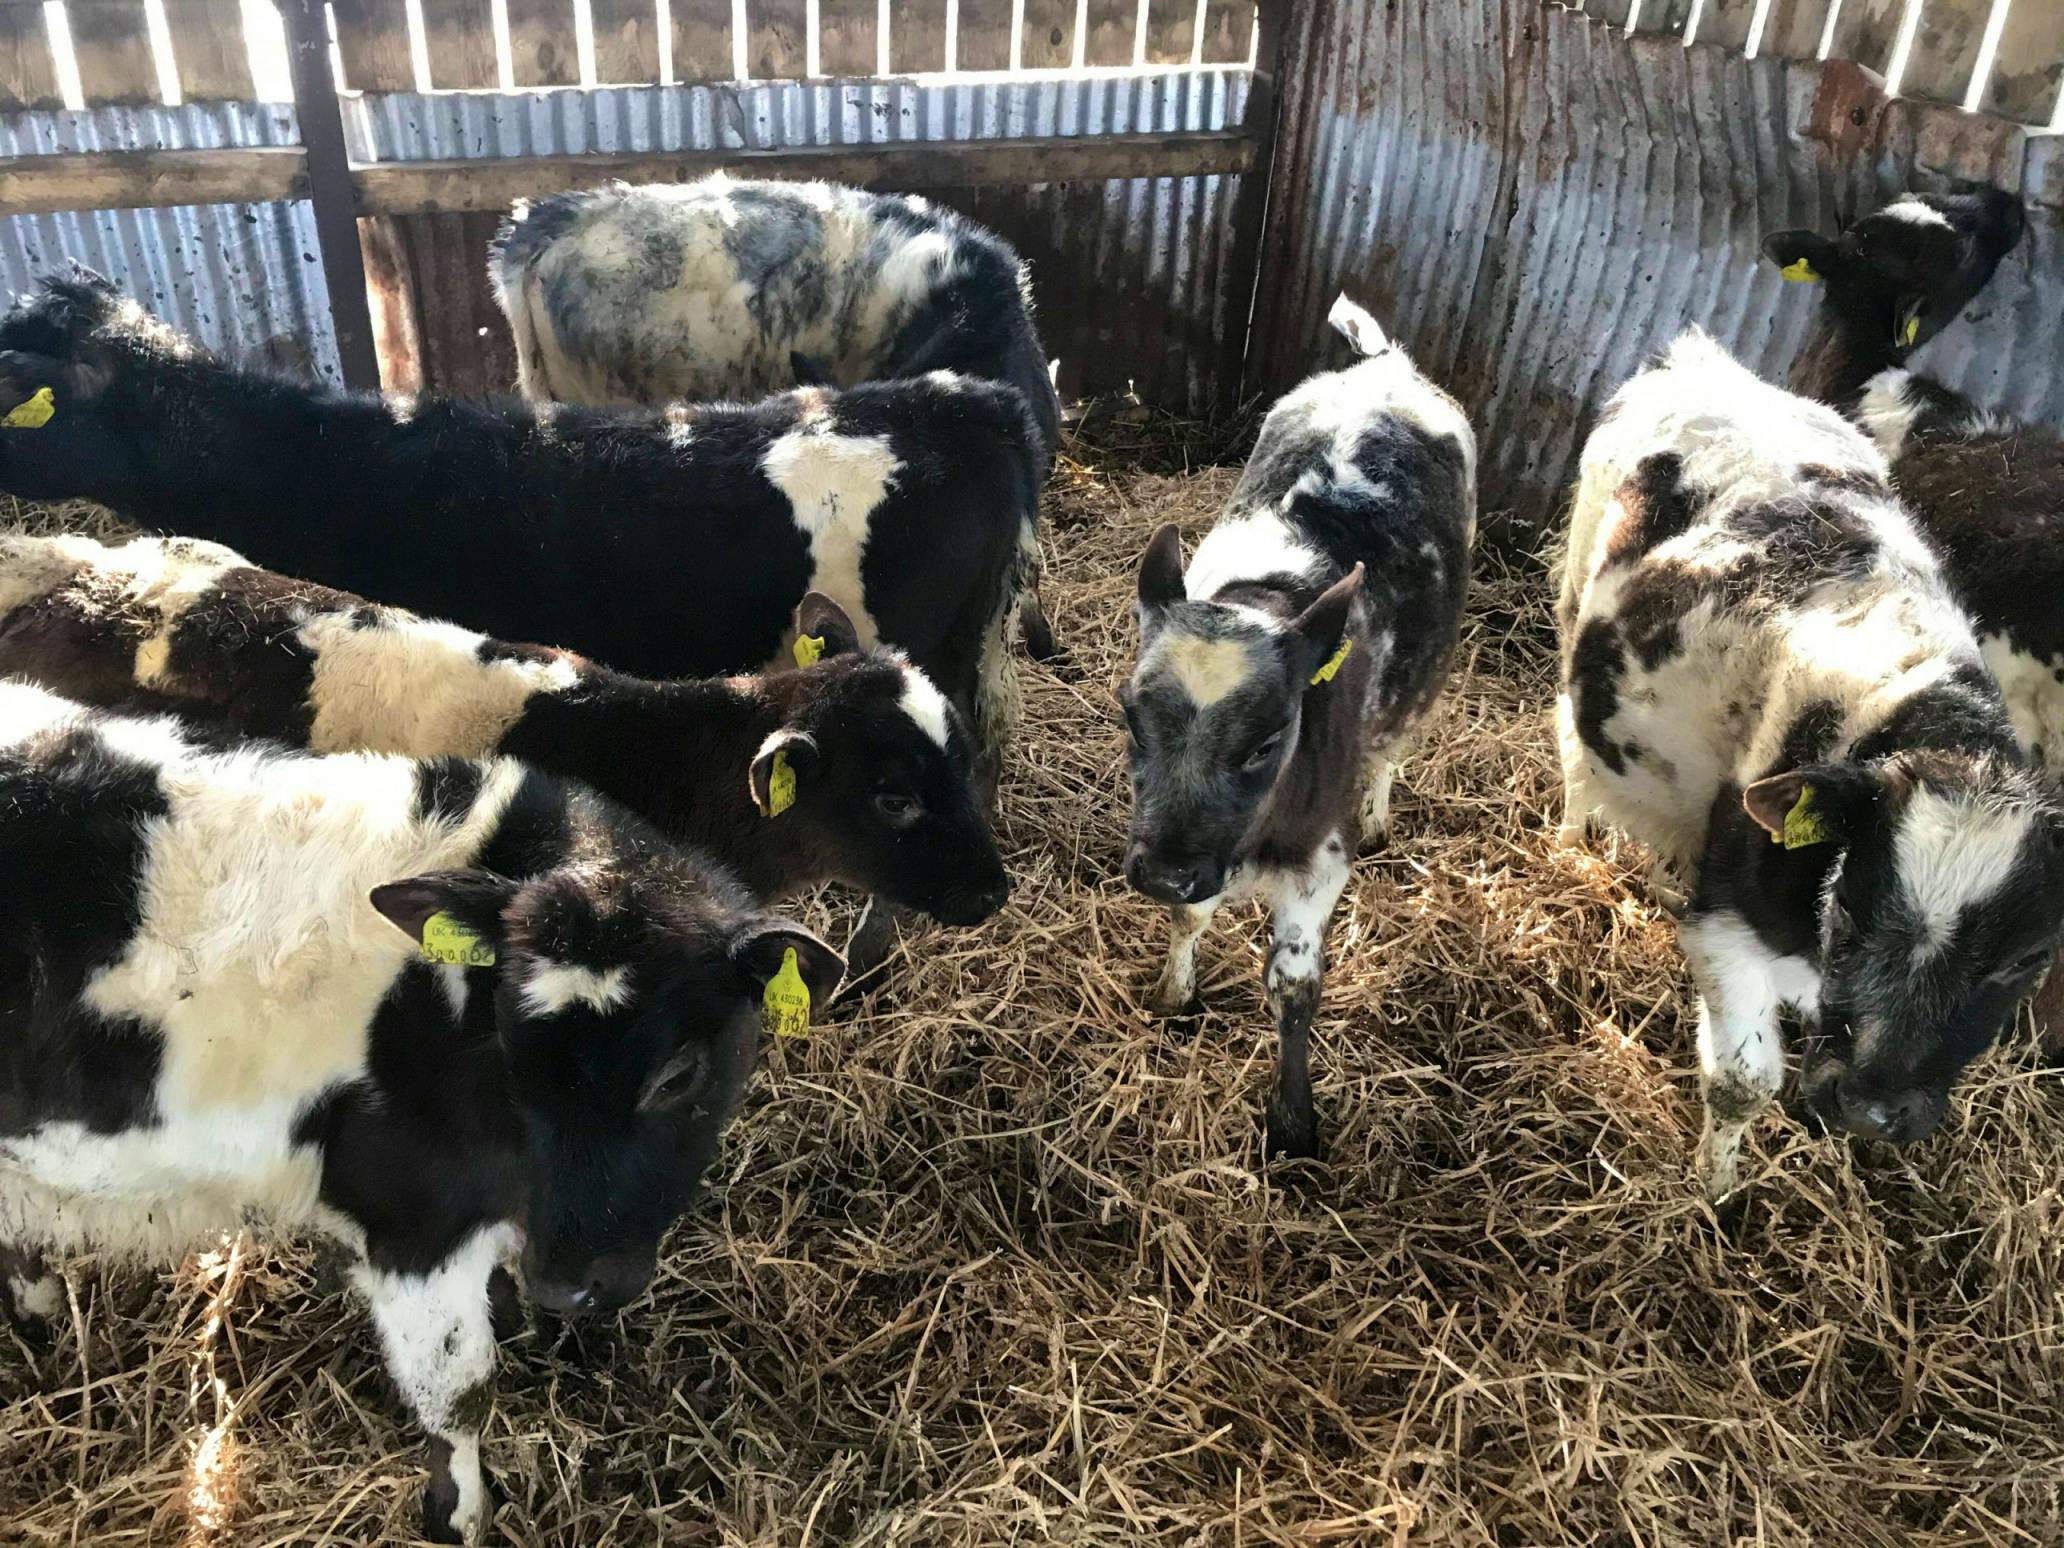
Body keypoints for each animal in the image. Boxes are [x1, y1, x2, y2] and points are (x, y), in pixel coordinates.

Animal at [0, 678, 844, 1541]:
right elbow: (458, 1394)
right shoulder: (413, 1228)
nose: (567, 1289)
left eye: (678, 1074)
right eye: (511, 1052)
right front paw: (460, 1513)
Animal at [1121, 295, 1475, 1158]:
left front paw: (1293, 1120)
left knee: (1390, 751)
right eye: (1131, 720)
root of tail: (1386, 368)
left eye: (1268, 741)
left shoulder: (1321, 860)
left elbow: (1292, 984)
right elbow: (1191, 917)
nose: (1161, 871)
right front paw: (1175, 992)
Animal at [1555, 327, 2064, 1211]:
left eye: (2026, 961)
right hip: (1573, 604)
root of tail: (1709, 362)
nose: (1870, 1110)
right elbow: (1742, 1084)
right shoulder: (1728, 921)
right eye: (1853, 910)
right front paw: (1717, 1199)